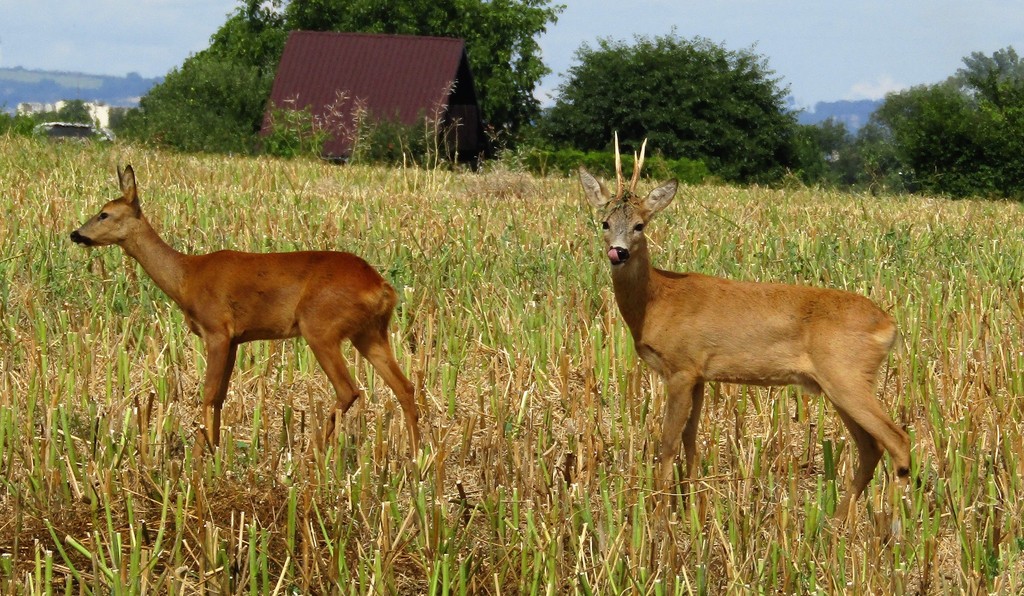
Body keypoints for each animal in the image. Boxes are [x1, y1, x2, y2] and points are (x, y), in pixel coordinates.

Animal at [70, 165, 420, 453]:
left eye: (104, 213)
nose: (76, 234)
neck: (186, 277)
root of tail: (382, 287)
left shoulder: (216, 329)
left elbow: (208, 392)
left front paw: (200, 452)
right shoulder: (236, 338)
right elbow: (222, 394)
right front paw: (214, 447)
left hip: (321, 326)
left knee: (349, 389)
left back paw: (313, 450)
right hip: (370, 332)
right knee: (404, 386)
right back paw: (415, 455)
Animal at [578, 136, 910, 519]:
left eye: (640, 225)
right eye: (605, 222)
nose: (618, 252)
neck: (656, 300)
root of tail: (889, 325)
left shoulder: (681, 367)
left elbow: (668, 443)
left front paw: (659, 513)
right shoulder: (699, 374)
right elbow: (691, 440)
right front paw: (694, 508)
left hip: (846, 374)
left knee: (898, 441)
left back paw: (894, 524)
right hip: (840, 382)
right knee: (871, 448)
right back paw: (839, 522)